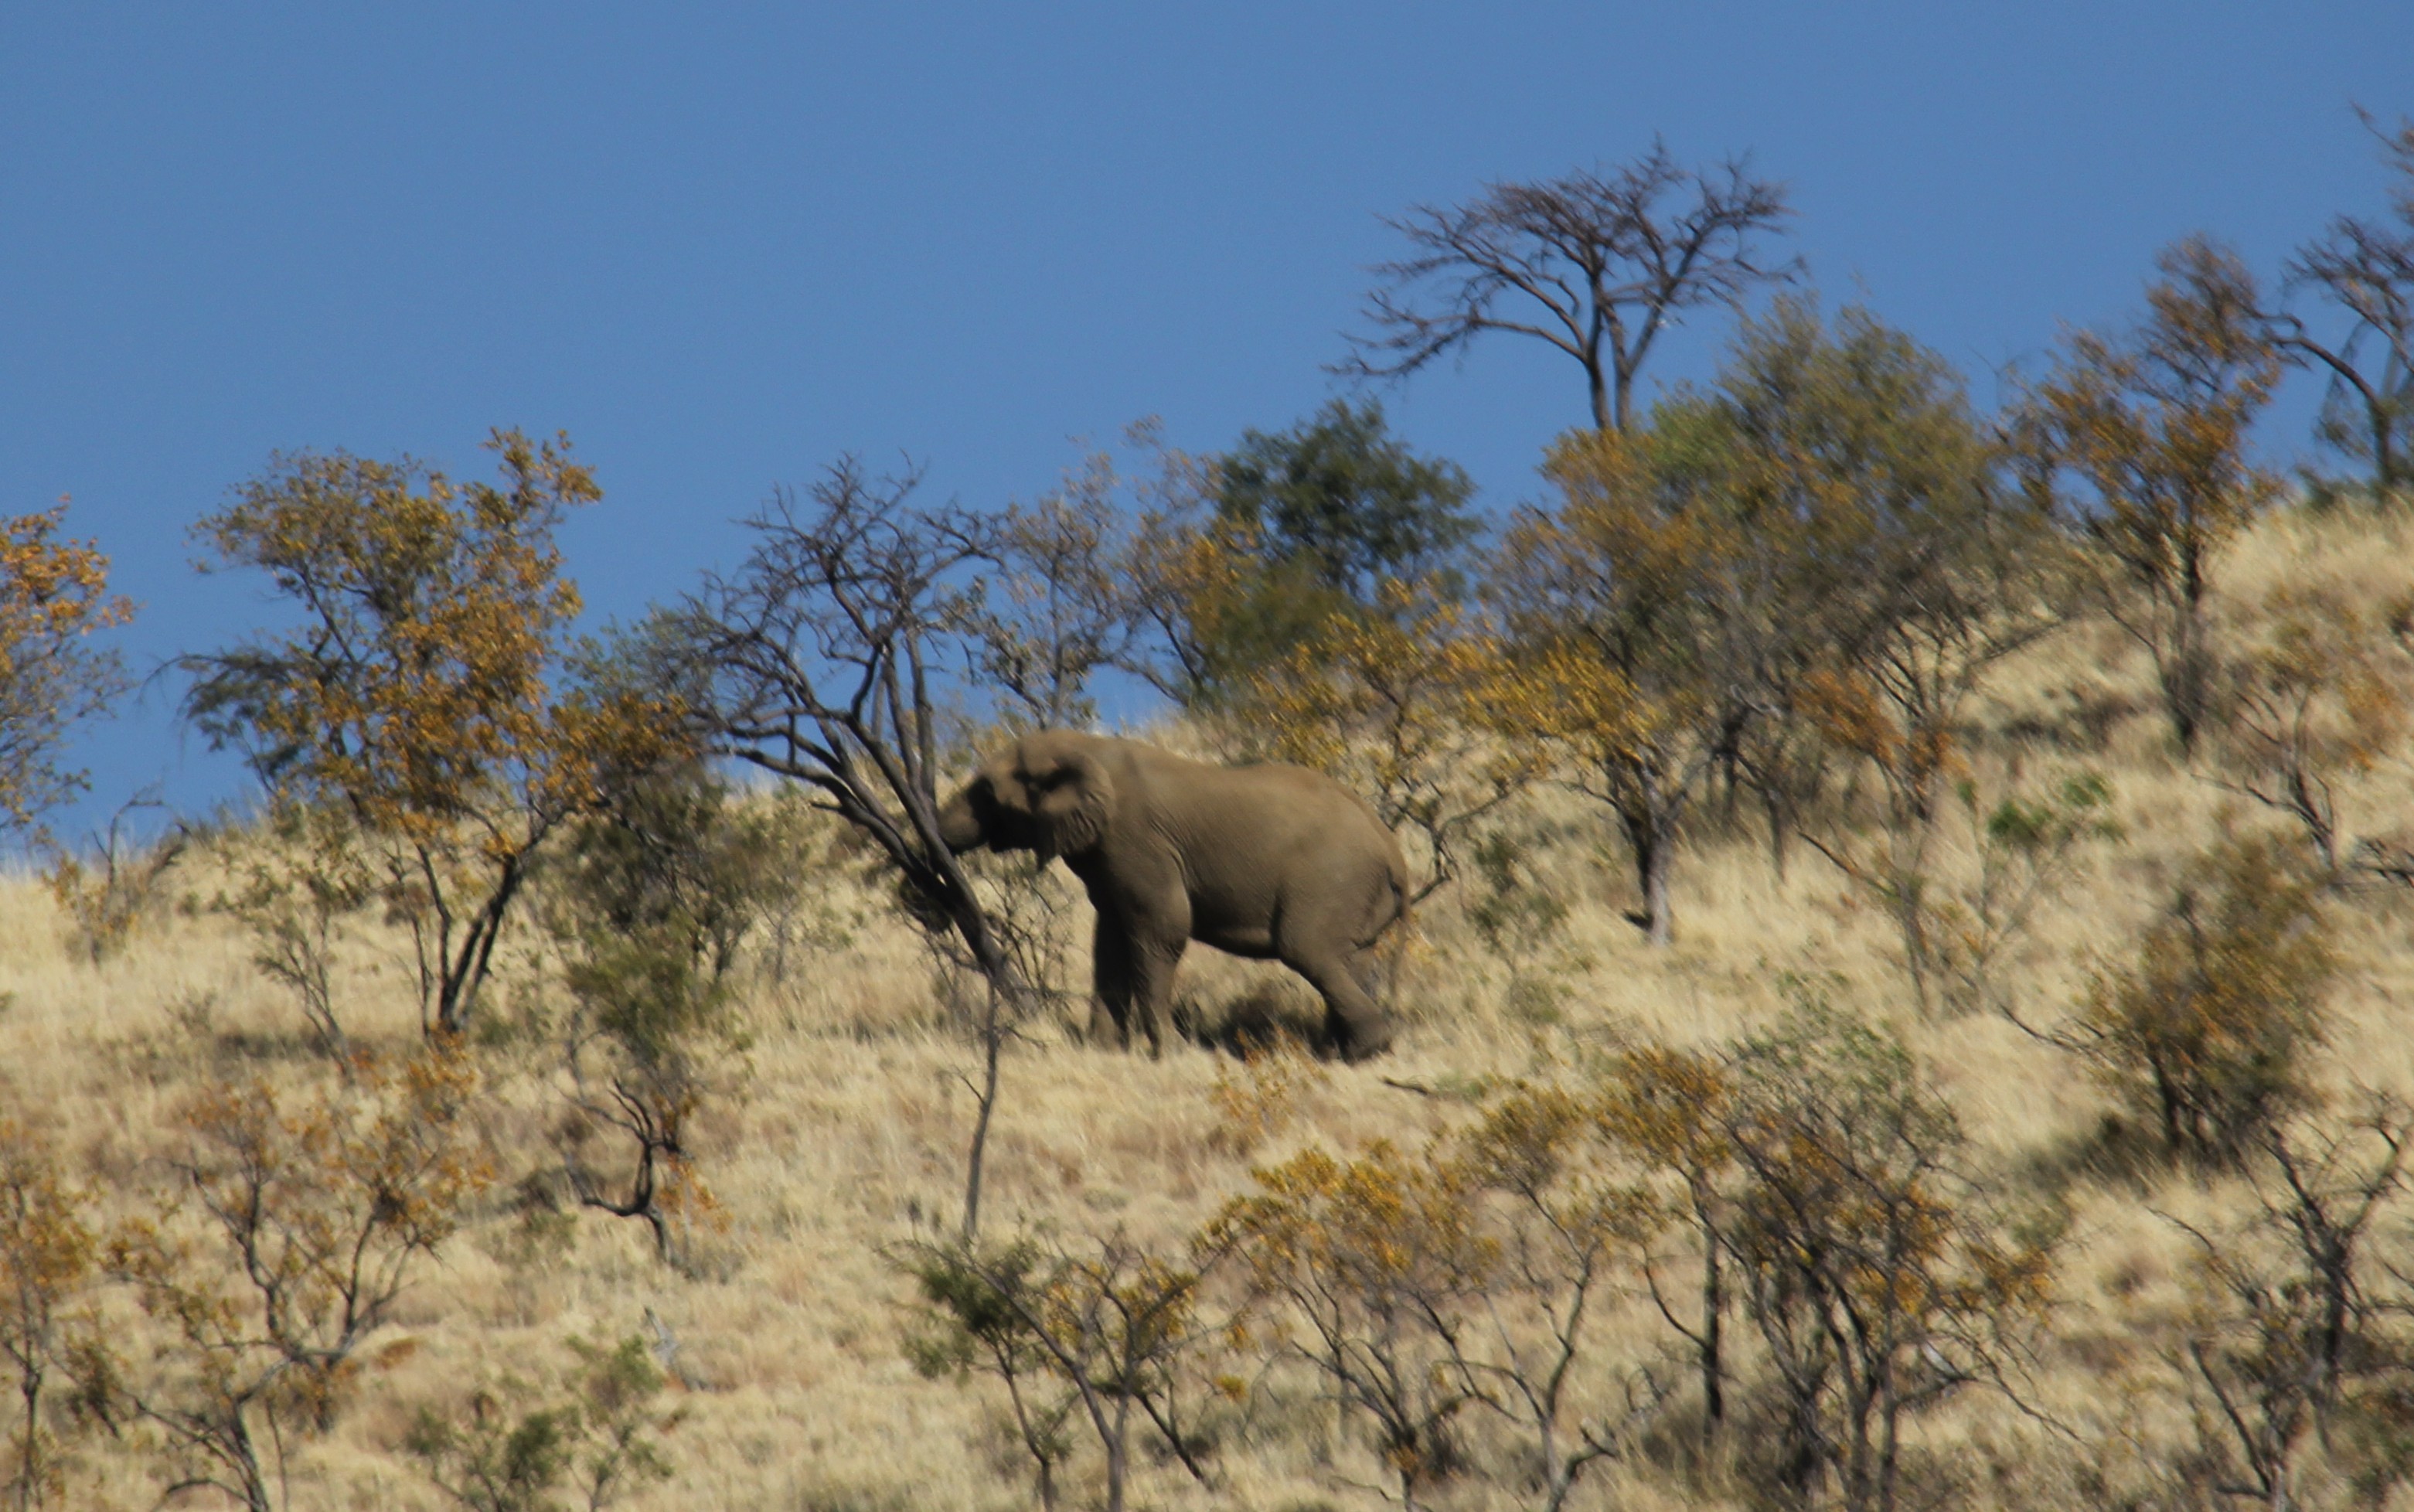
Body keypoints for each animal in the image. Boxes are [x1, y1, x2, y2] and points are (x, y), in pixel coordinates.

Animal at [935, 730, 1409, 1061]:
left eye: (986, 794)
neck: (1085, 747)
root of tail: (1392, 849)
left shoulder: (1137, 843)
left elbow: (1161, 931)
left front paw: (1172, 1055)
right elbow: (1110, 943)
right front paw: (1104, 1053)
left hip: (1332, 878)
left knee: (1307, 949)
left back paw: (1364, 1051)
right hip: (1352, 890)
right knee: (1349, 957)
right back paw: (1337, 1053)